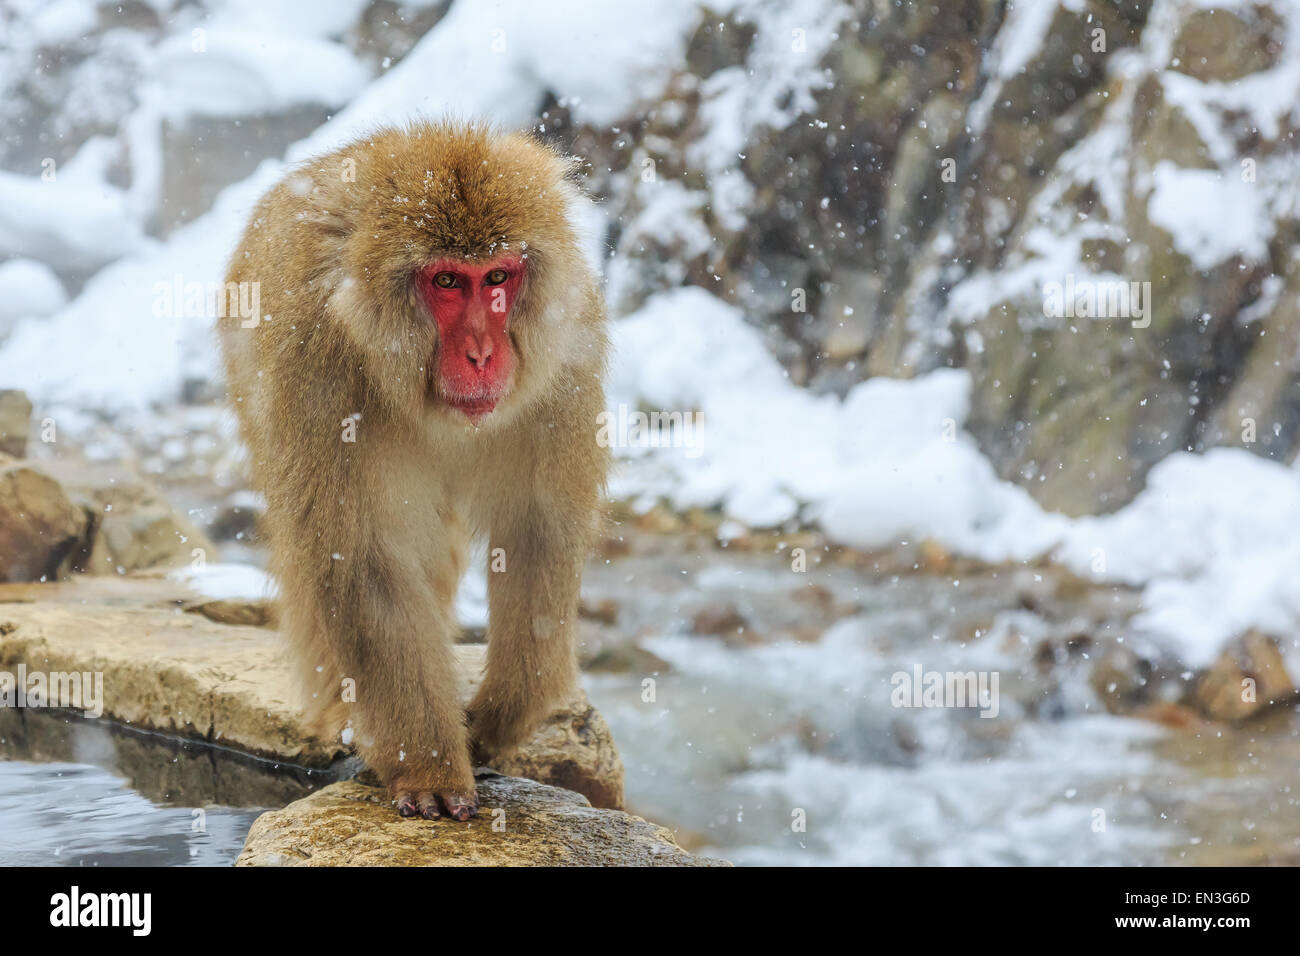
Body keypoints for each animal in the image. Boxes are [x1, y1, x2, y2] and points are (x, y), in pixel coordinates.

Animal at [218, 120, 609, 821]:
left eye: (497, 276)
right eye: (448, 281)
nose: (482, 353)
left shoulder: (564, 358)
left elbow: (538, 533)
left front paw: (496, 719)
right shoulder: (315, 365)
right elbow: (361, 559)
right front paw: (427, 765)